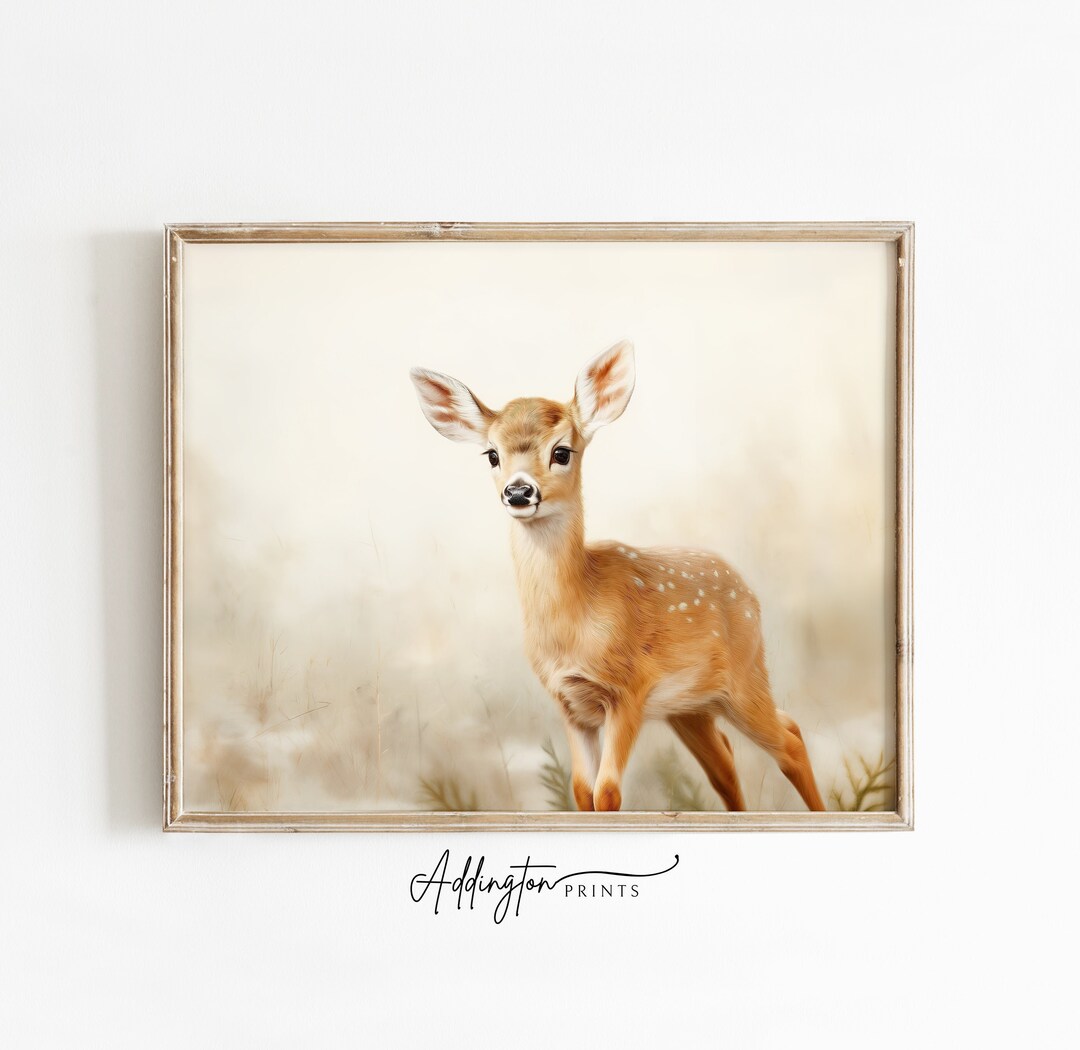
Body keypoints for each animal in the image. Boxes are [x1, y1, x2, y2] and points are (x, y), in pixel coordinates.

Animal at [409, 340, 825, 813]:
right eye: (491, 454)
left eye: (562, 451)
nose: (518, 492)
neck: (575, 619)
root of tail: (749, 591)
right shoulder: (568, 702)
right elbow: (581, 791)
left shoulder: (629, 688)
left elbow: (607, 792)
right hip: (689, 707)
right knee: (726, 761)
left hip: (743, 677)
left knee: (789, 739)